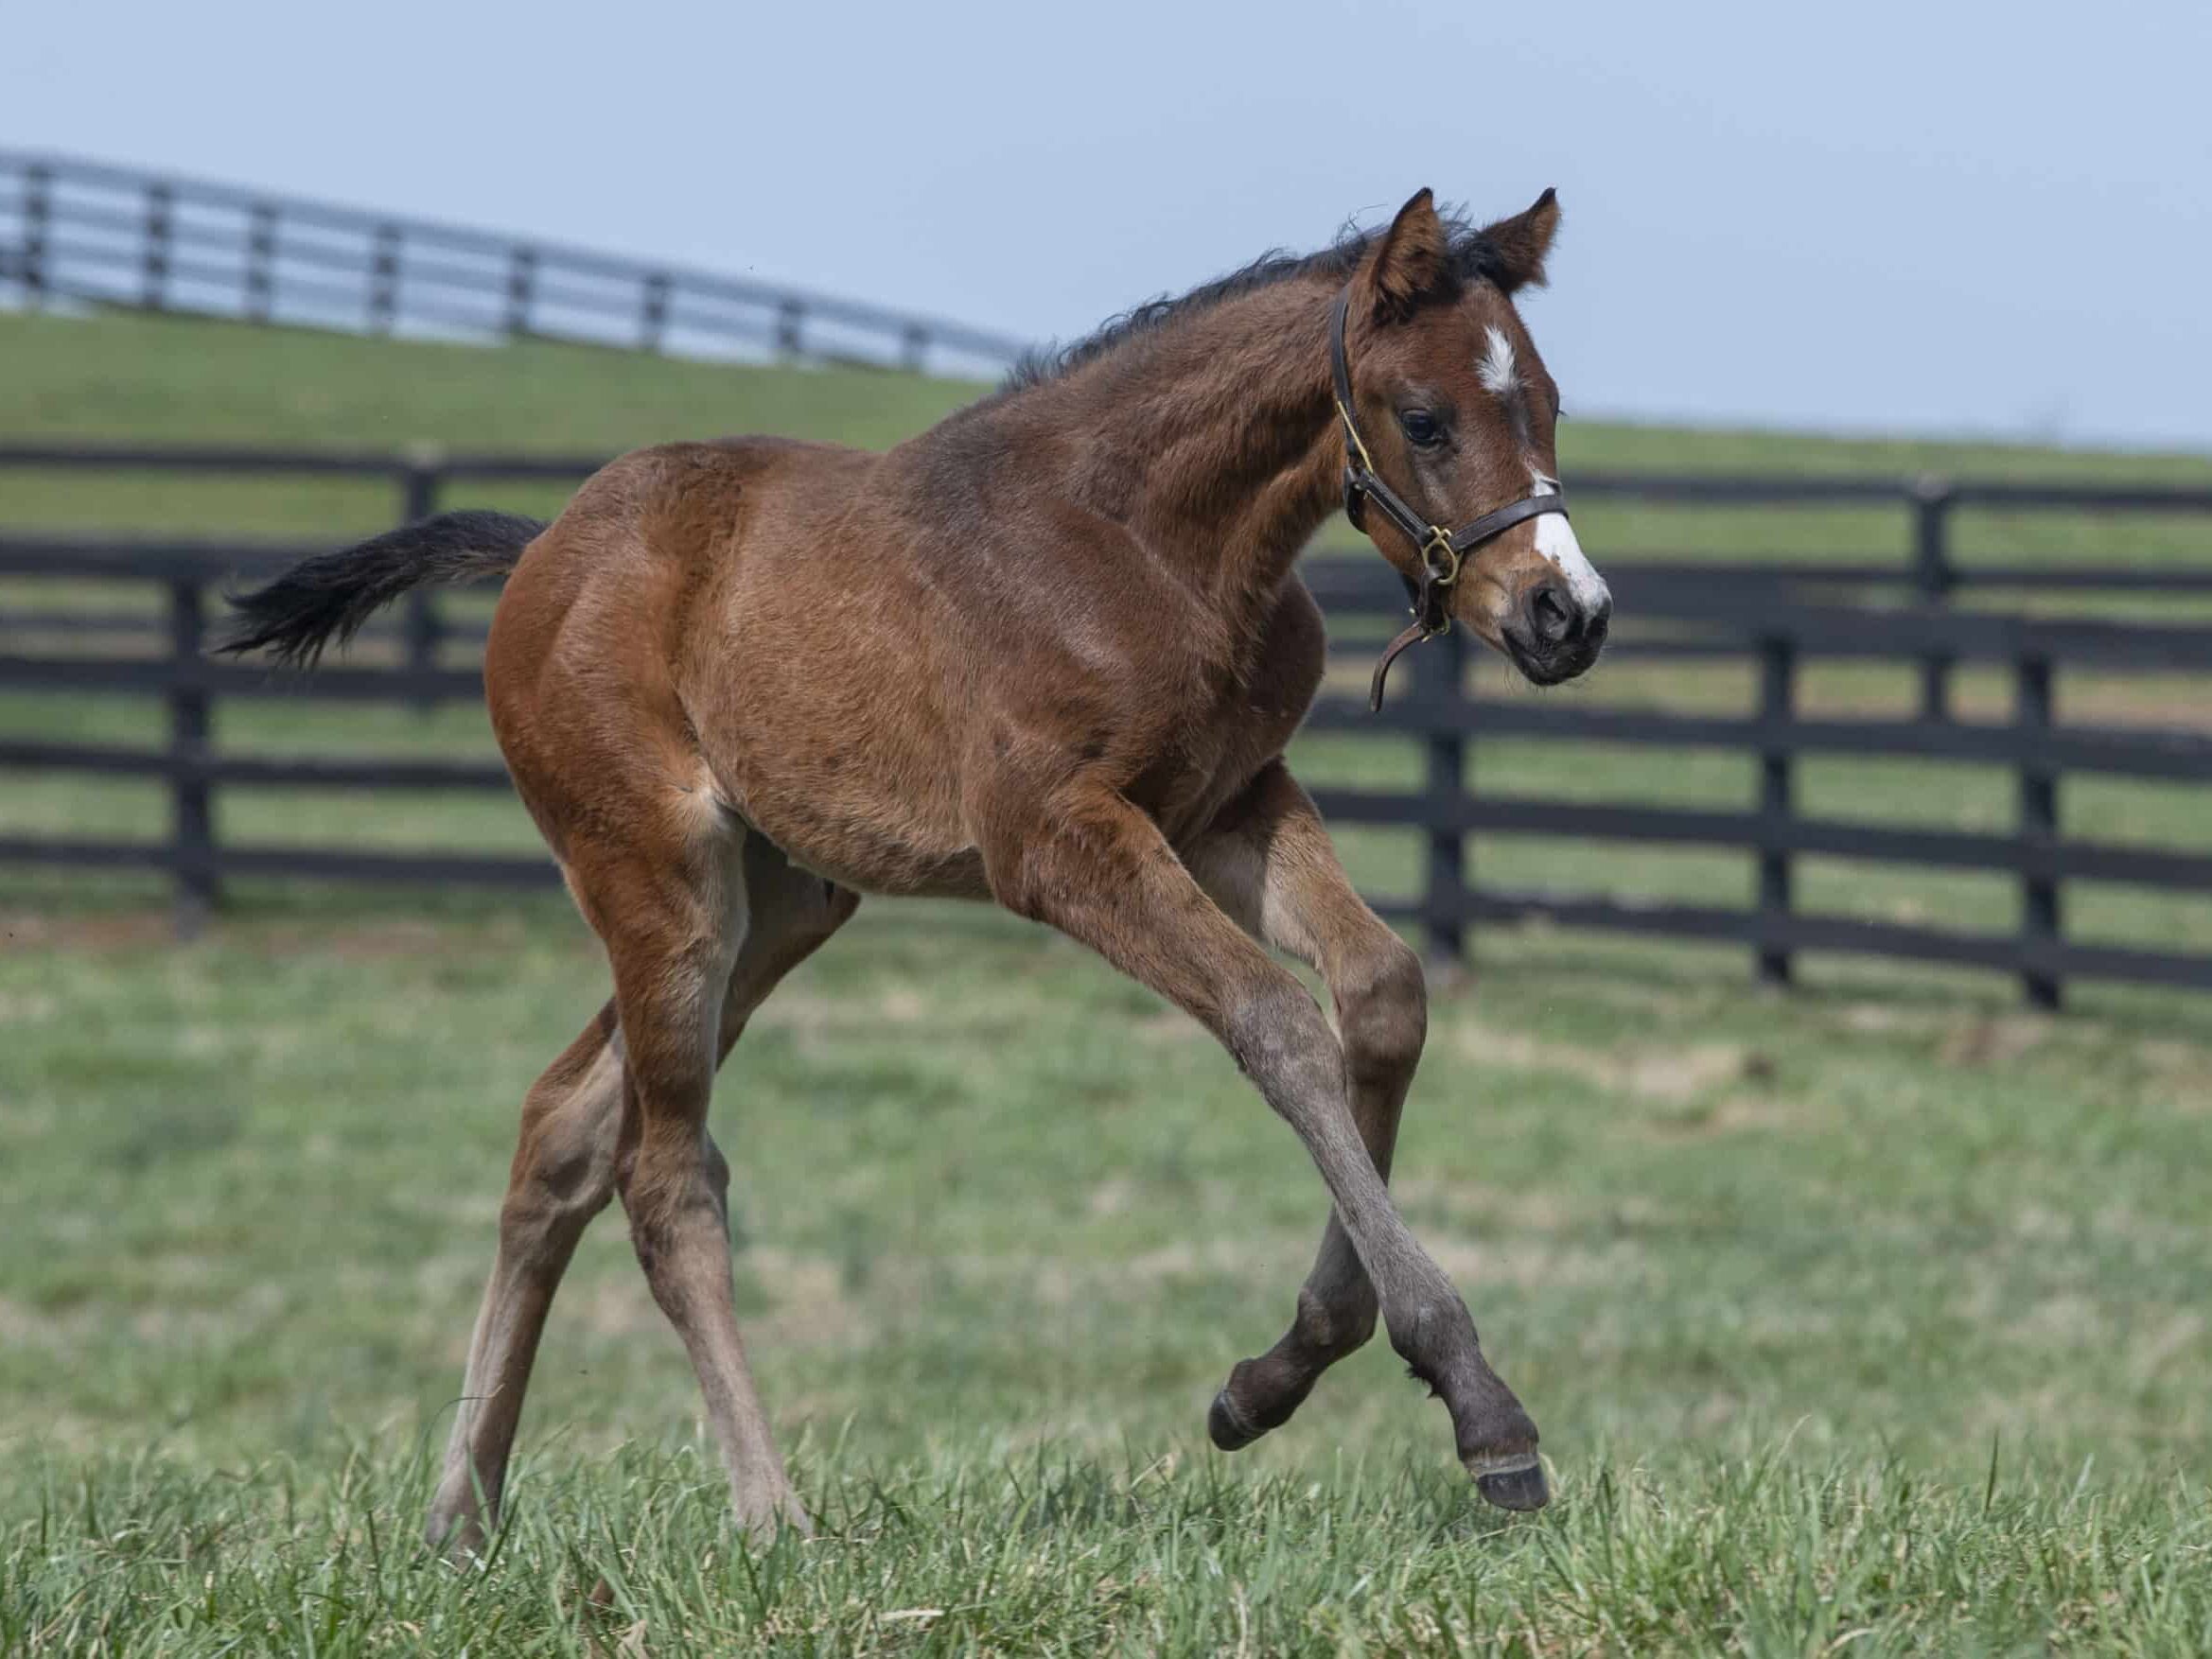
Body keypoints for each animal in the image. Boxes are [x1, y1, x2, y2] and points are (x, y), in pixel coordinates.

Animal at [220, 186, 1611, 1555]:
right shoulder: (1051, 837)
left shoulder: (1229, 800)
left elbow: (1380, 991)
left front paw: (1271, 1378)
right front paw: (1482, 1410)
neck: (1146, 546)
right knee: (663, 1176)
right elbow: (1275, 1022)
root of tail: (539, 554)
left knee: (561, 1128)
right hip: (657, 876)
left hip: (784, 896)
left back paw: (462, 1510)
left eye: (1545, 398)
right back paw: (771, 1513)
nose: (1568, 616)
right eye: (1423, 417)